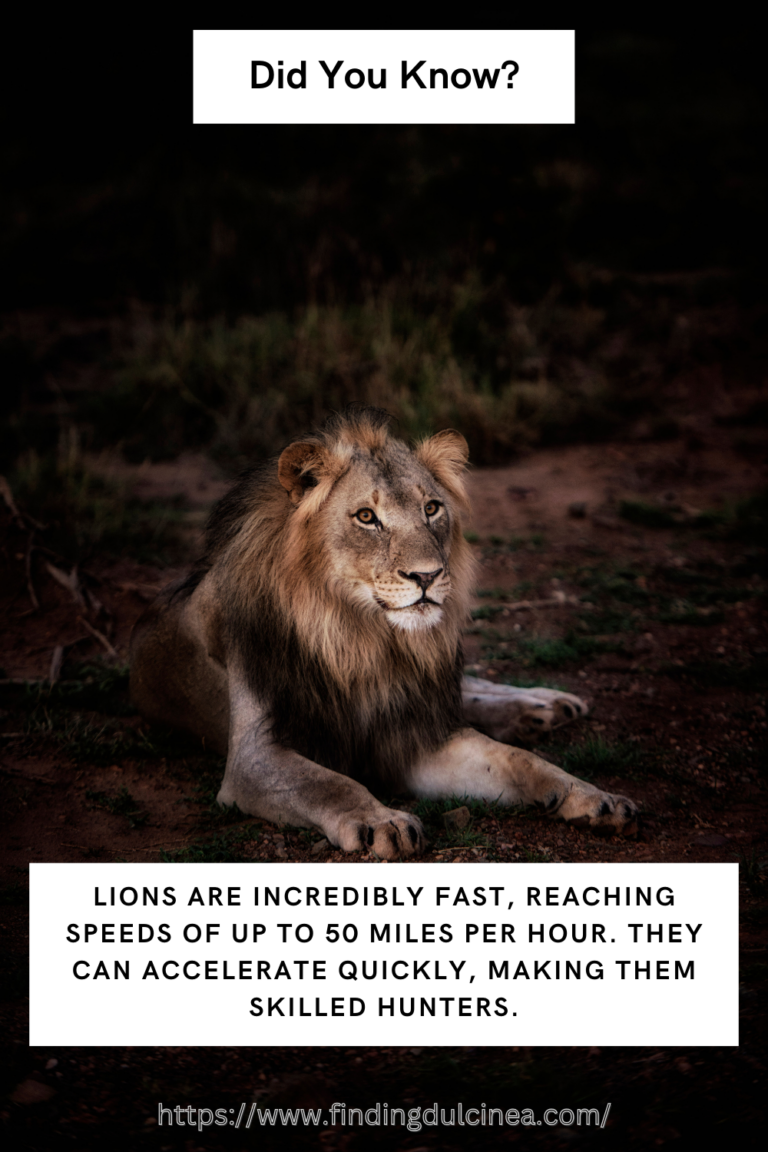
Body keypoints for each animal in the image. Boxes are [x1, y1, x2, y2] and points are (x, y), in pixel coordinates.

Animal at [130, 407, 638, 859]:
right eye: (366, 517)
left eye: (431, 508)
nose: (427, 576)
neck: (364, 641)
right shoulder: (254, 759)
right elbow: (332, 784)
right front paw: (384, 821)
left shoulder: (414, 733)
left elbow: (520, 760)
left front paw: (592, 796)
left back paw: (544, 704)